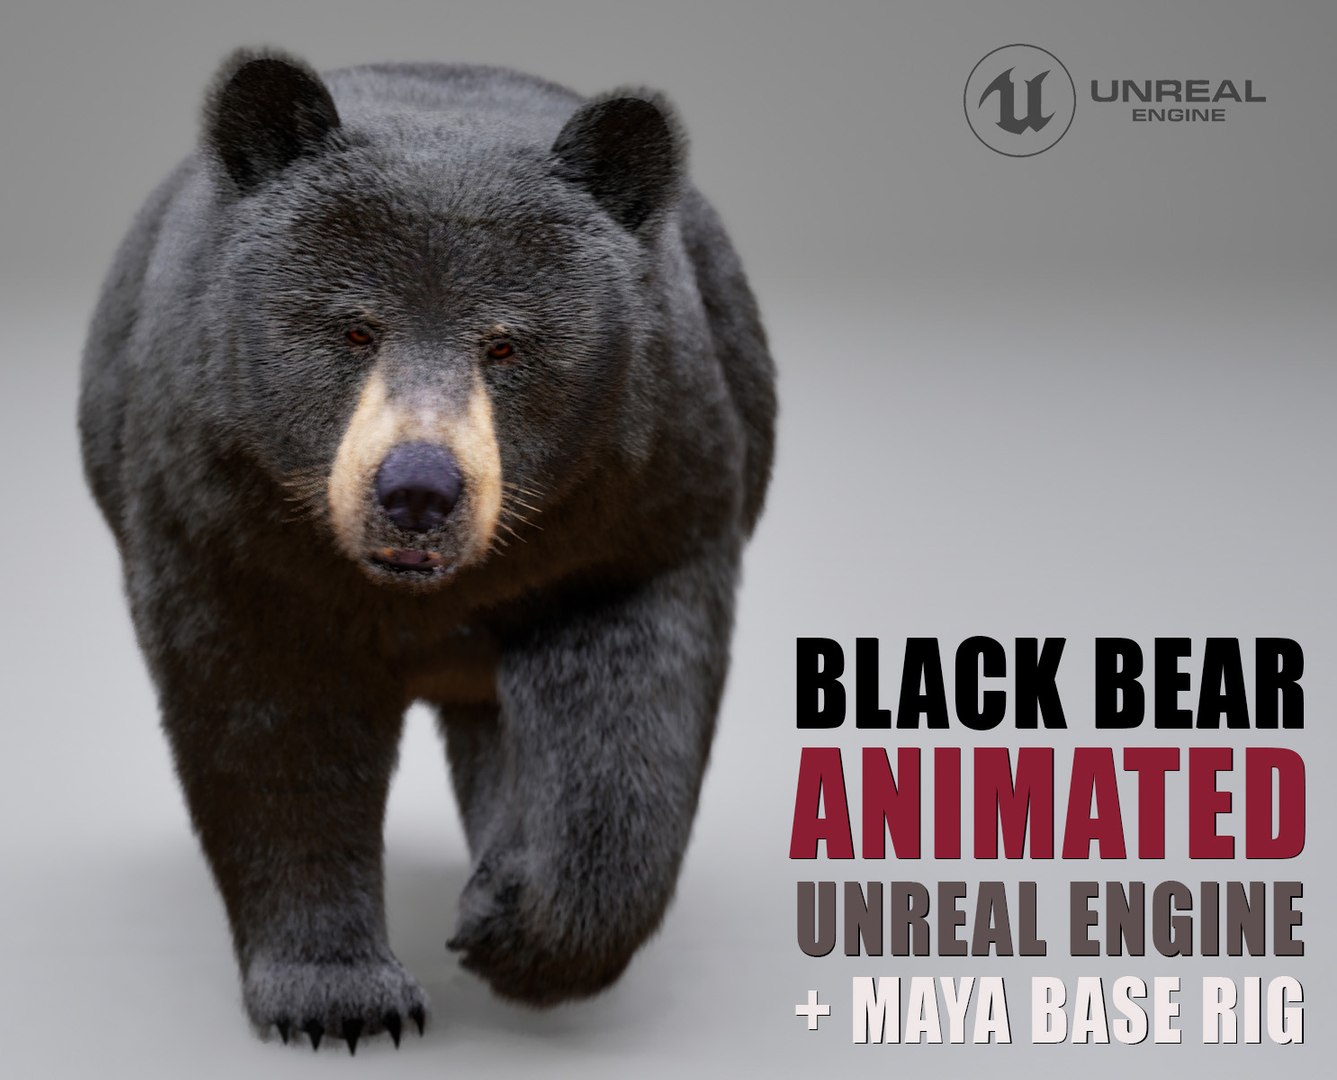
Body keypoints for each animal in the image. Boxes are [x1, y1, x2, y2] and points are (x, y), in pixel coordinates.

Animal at [77, 48, 775, 1053]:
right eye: (353, 328)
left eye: (506, 346)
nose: (416, 489)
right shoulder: (221, 510)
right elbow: (267, 717)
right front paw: (337, 995)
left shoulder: (641, 494)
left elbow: (627, 695)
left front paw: (519, 927)